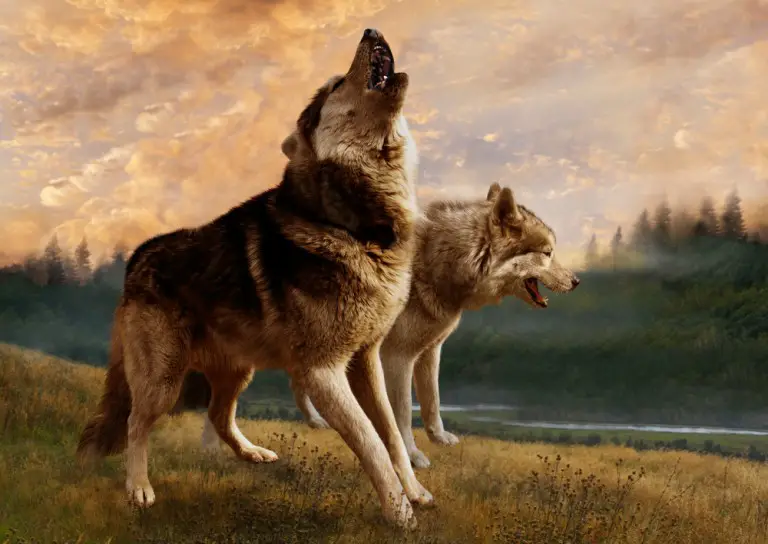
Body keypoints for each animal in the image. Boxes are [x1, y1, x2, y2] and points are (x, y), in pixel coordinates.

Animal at [76, 28, 433, 529]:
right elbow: (371, 444)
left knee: (218, 417)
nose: (370, 31)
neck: (356, 227)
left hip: (237, 371)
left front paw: (415, 493)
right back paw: (139, 489)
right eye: (336, 85)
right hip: (163, 382)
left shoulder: (366, 360)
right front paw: (400, 515)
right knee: (135, 425)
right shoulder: (324, 374)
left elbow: (394, 436)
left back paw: (252, 454)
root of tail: (137, 255)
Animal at [198, 181, 581, 469]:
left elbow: (432, 400)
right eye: (547, 253)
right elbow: (402, 415)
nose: (577, 281)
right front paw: (412, 456)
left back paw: (313, 423)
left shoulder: (429, 351)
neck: (439, 266)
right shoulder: (396, 358)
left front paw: (439, 438)